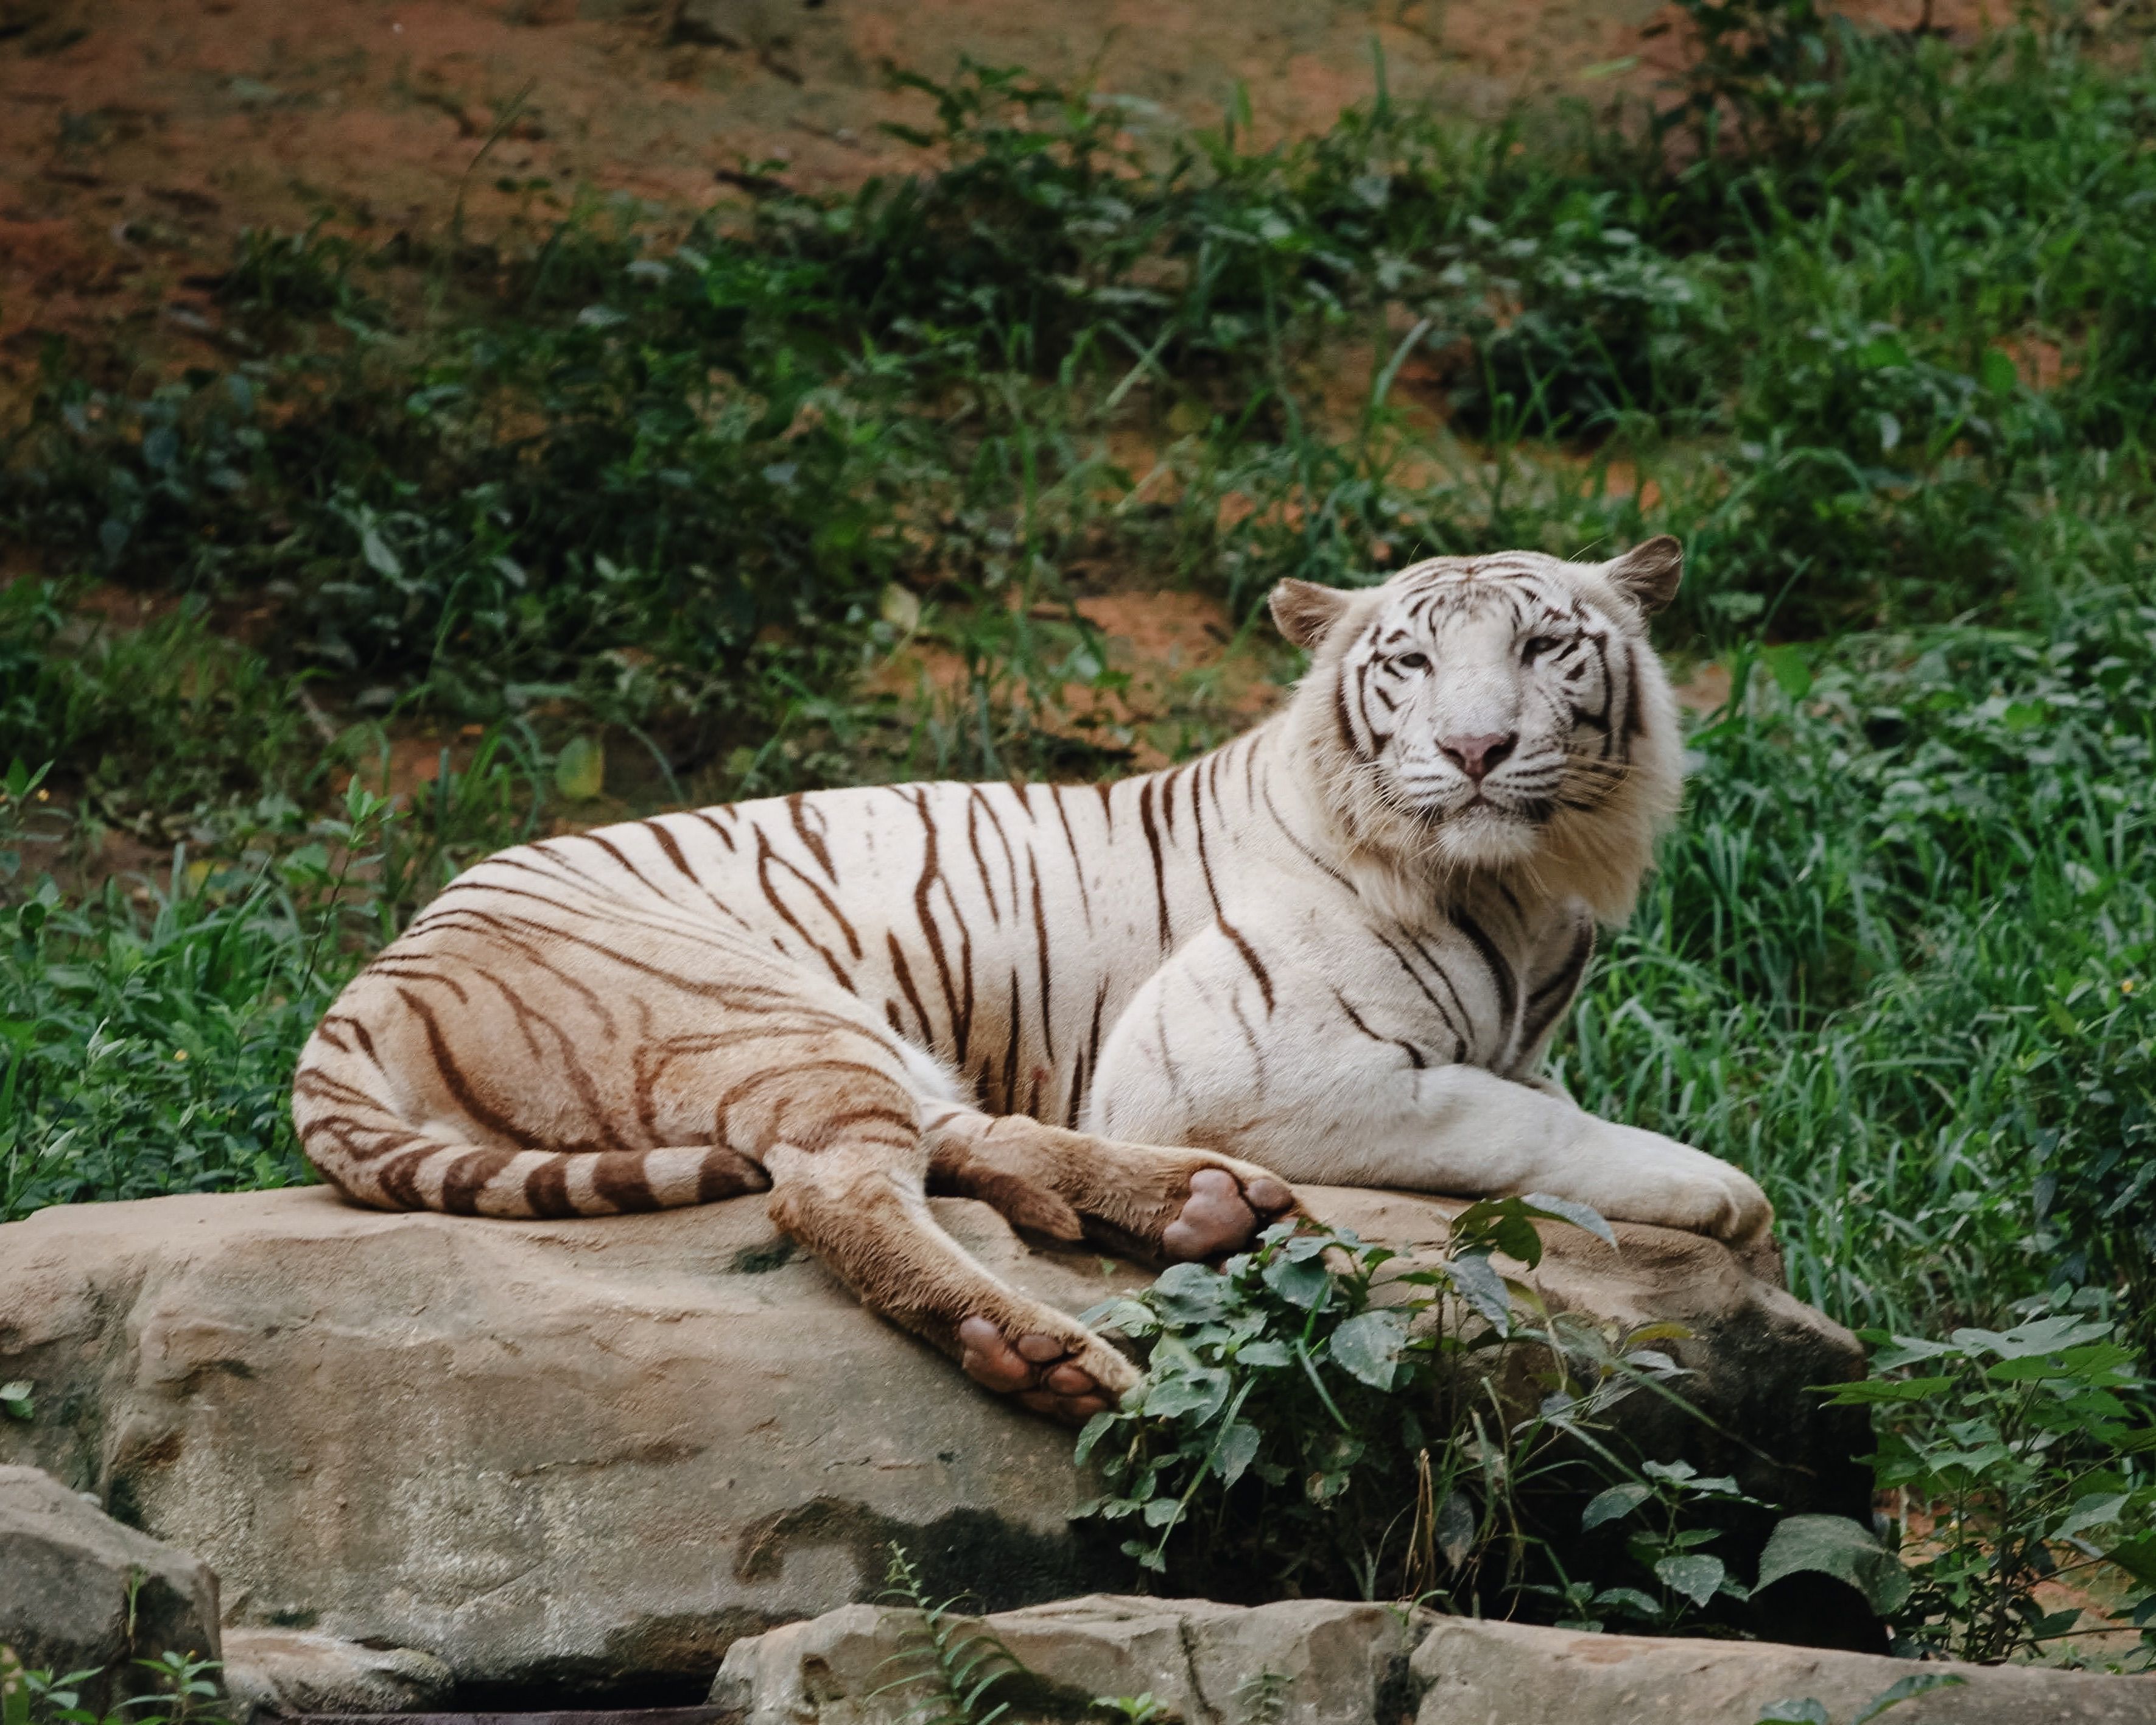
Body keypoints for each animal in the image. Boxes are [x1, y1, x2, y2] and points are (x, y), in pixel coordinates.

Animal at [292, 535, 1771, 1423]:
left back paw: (1195, 1208)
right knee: (833, 1190)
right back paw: (1044, 1347)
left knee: (938, 1135)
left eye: (1543, 648)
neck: (1523, 890)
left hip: (852, 1034)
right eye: (1410, 661)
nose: (1472, 751)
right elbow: (1529, 1127)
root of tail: (371, 977)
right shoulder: (1252, 1062)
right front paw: (1728, 1201)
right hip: (766, 1007)